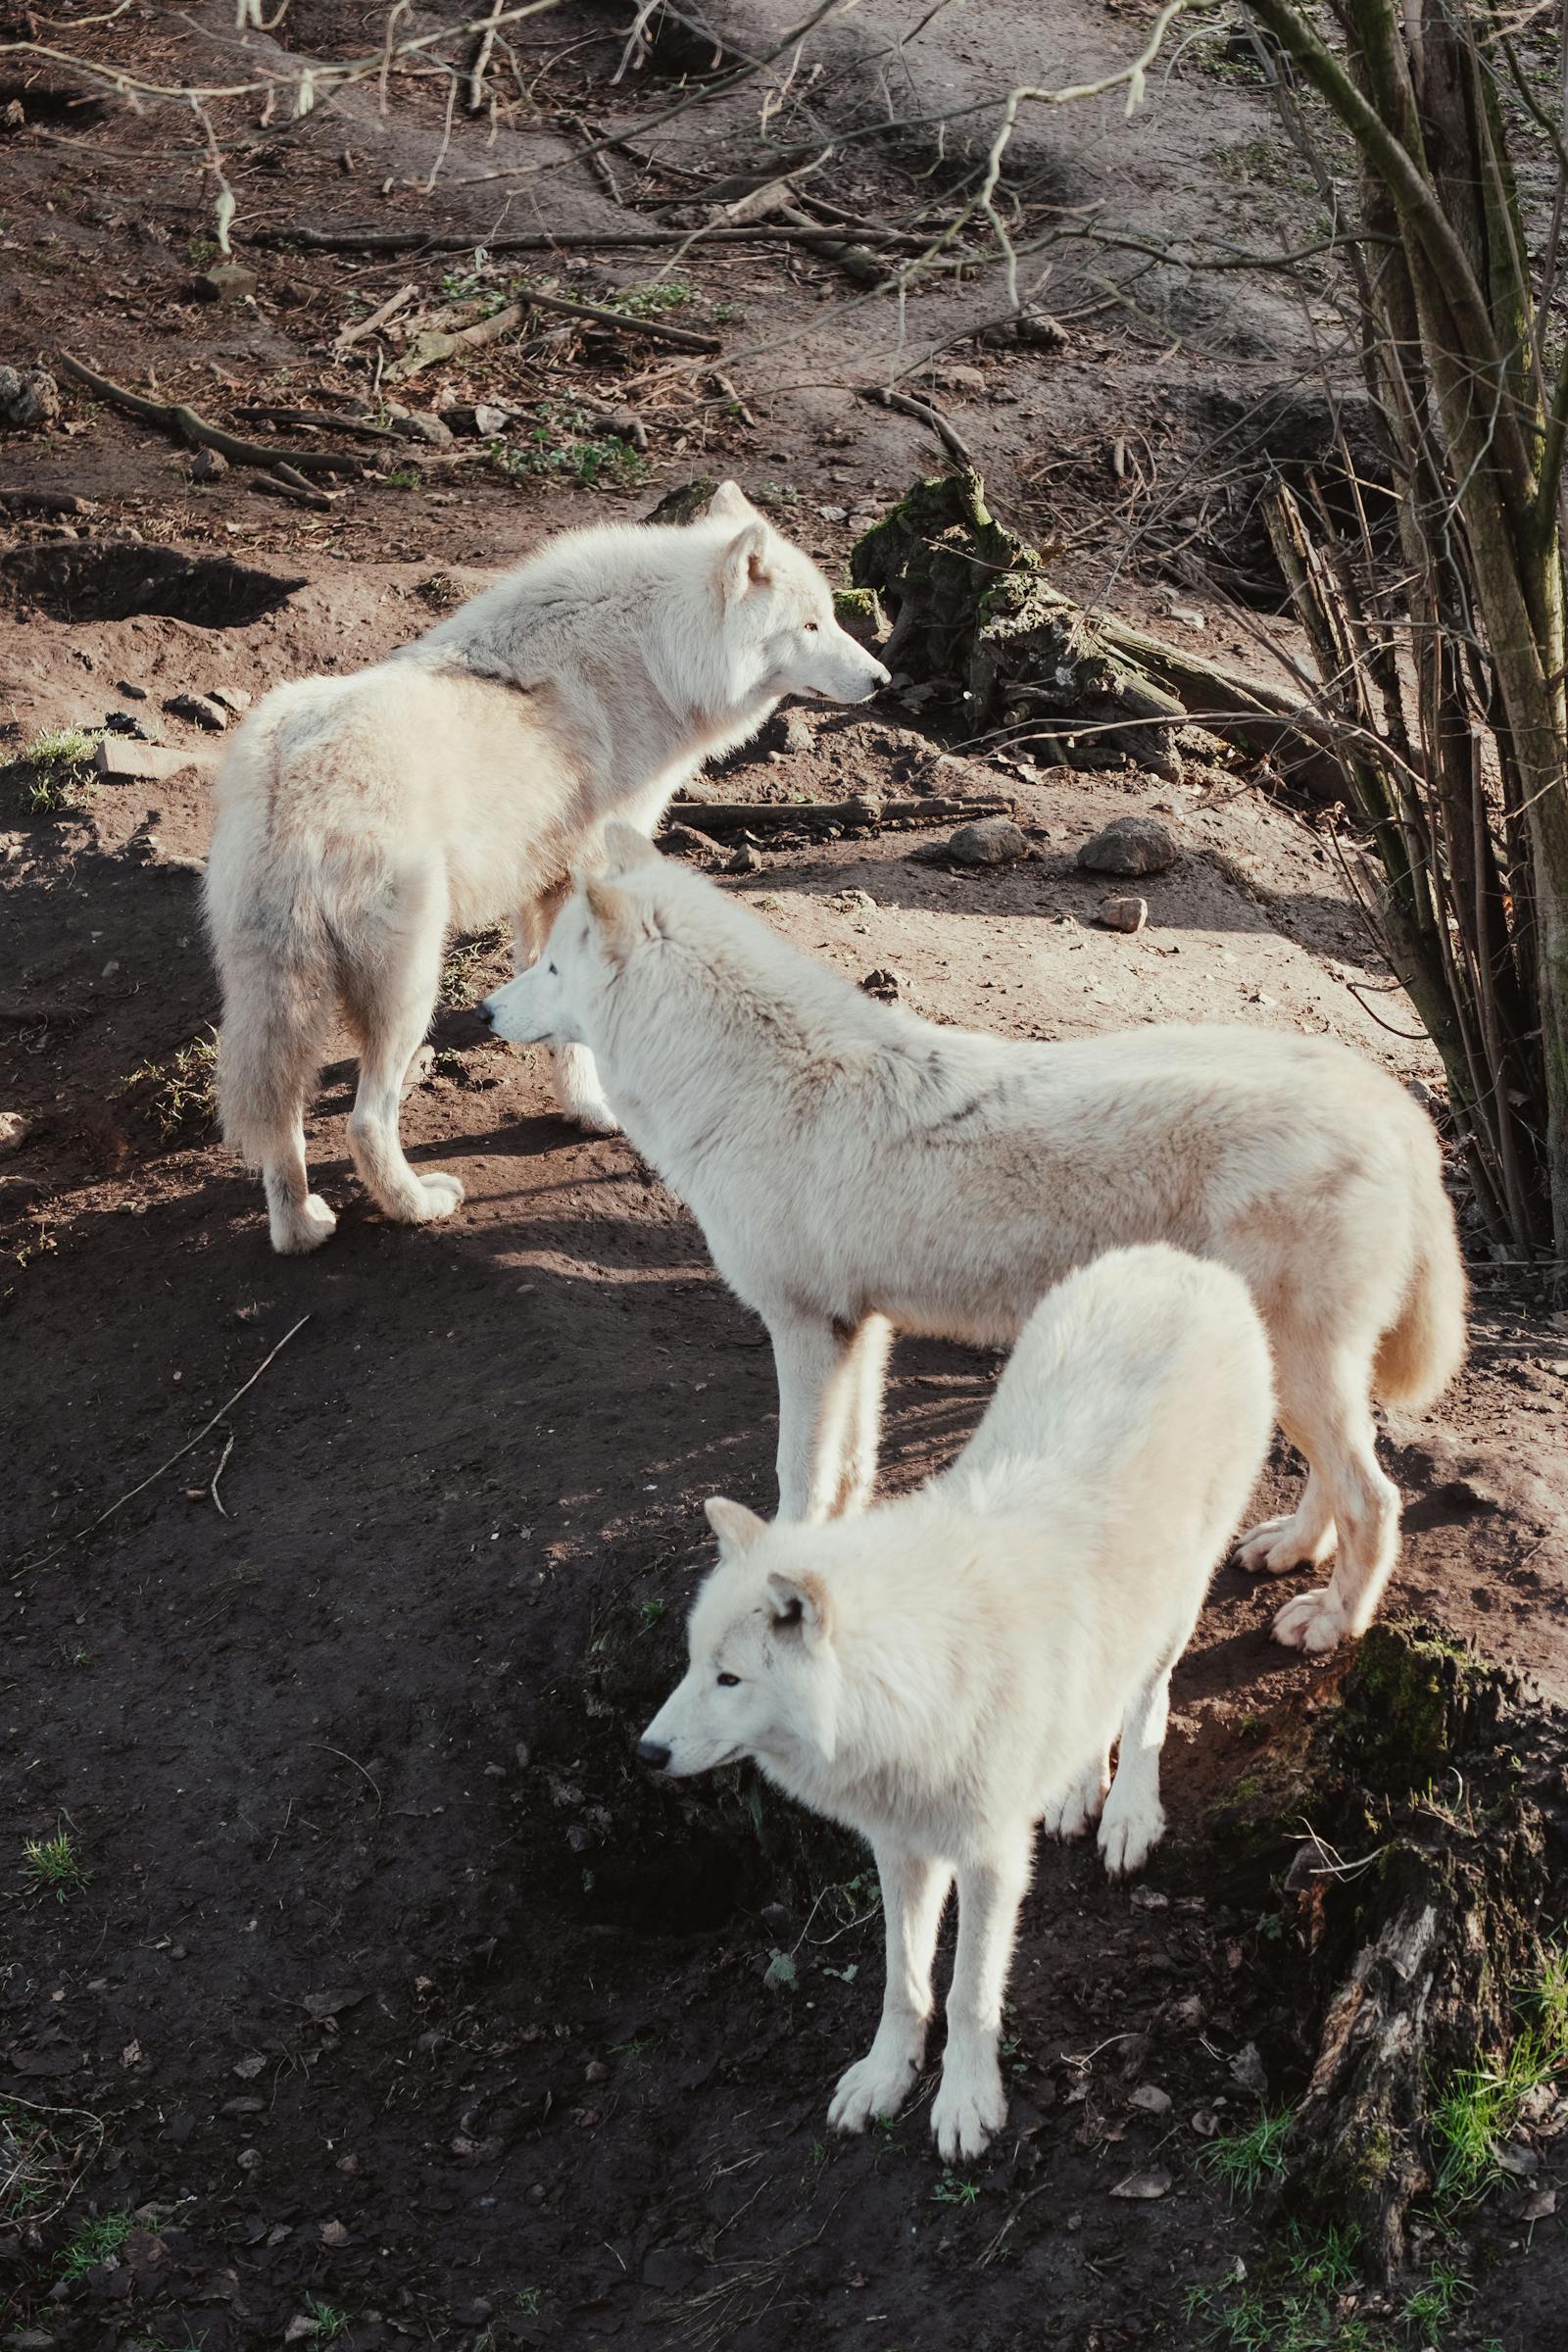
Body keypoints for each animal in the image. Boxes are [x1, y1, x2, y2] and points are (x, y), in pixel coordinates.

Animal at [203, 483, 887, 1255]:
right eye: (811, 624)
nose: (882, 677)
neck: (656, 659)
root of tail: (294, 774)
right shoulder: (581, 875)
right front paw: (591, 1108)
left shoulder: (540, 888)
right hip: (410, 984)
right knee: (365, 1120)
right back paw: (418, 1206)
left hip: (275, 996)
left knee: (278, 1120)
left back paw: (300, 1229)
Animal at [480, 825, 1466, 1654]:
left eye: (553, 969)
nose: (488, 1011)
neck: (752, 1085)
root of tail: (1392, 1103)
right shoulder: (859, 1329)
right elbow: (851, 1470)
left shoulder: (803, 1328)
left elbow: (798, 1477)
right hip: (1300, 1366)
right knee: (1336, 1480)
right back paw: (1291, 1550)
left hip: (1296, 1365)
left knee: (1378, 1498)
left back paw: (1332, 1620)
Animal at [638, 1244, 1277, 2159]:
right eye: (694, 1665)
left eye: (731, 1680)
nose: (647, 1752)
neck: (912, 1689)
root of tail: (1180, 1261)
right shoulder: (901, 1847)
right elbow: (903, 1983)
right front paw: (884, 2077)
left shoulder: (990, 1858)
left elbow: (970, 1994)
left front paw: (967, 2102)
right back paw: (1076, 1788)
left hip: (1179, 1595)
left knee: (1147, 1697)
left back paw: (1127, 1812)